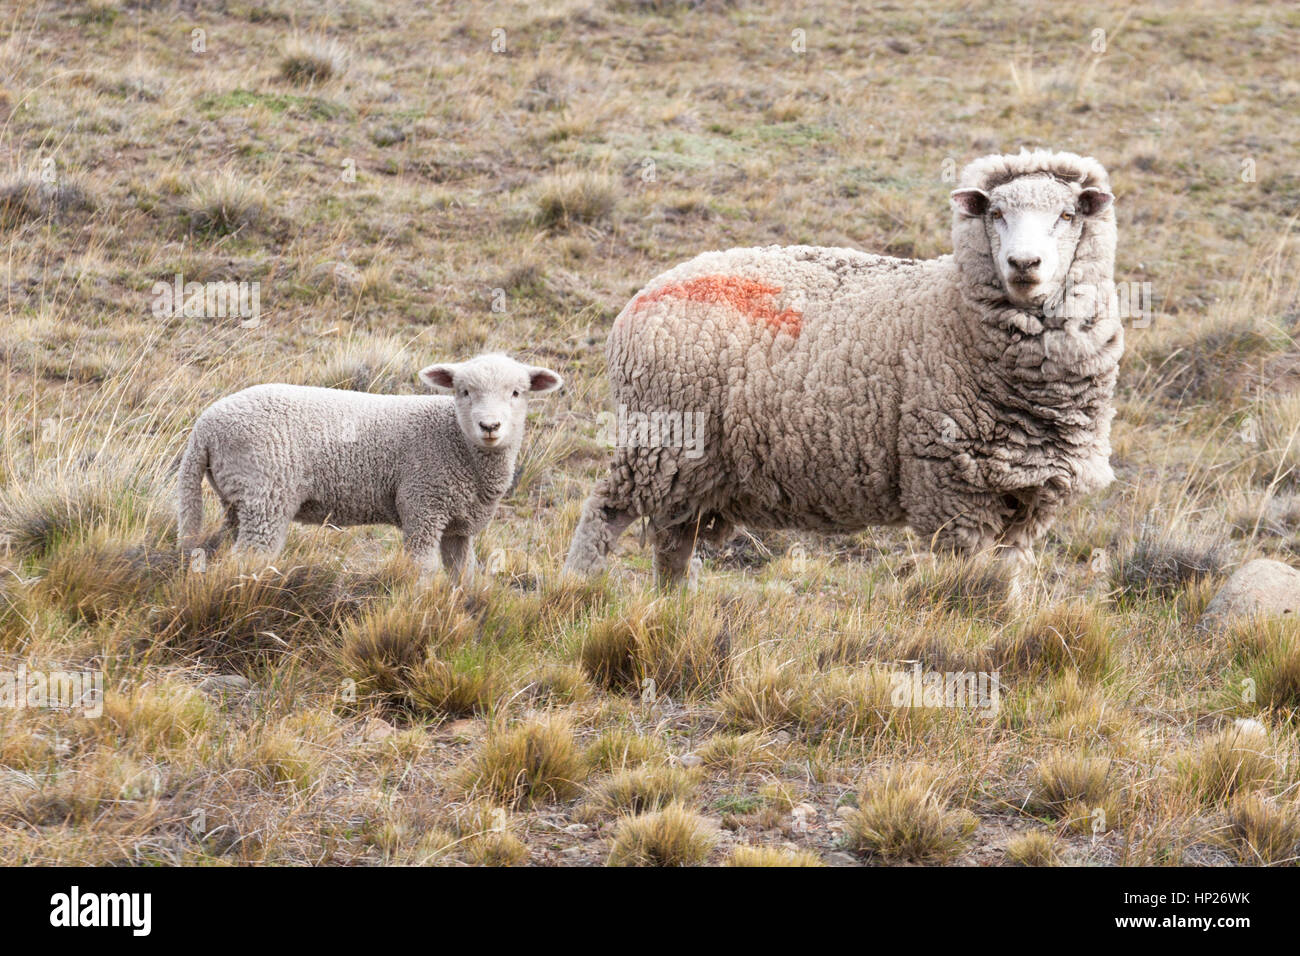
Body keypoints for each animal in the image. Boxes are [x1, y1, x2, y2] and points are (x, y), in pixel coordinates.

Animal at [177, 353, 563, 583]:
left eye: (517, 393)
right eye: (464, 392)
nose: (490, 426)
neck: (456, 441)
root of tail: (204, 427)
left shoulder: (458, 526)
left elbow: (463, 576)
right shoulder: (423, 505)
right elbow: (423, 570)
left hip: (238, 498)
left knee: (221, 544)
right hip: (266, 492)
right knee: (247, 557)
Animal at [564, 149, 1122, 588]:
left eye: (1067, 214)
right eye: (998, 213)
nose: (1024, 264)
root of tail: (642, 295)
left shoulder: (1030, 496)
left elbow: (1008, 580)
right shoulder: (950, 489)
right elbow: (968, 580)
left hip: (697, 464)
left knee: (672, 536)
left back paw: (673, 604)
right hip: (661, 435)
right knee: (605, 510)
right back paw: (577, 587)